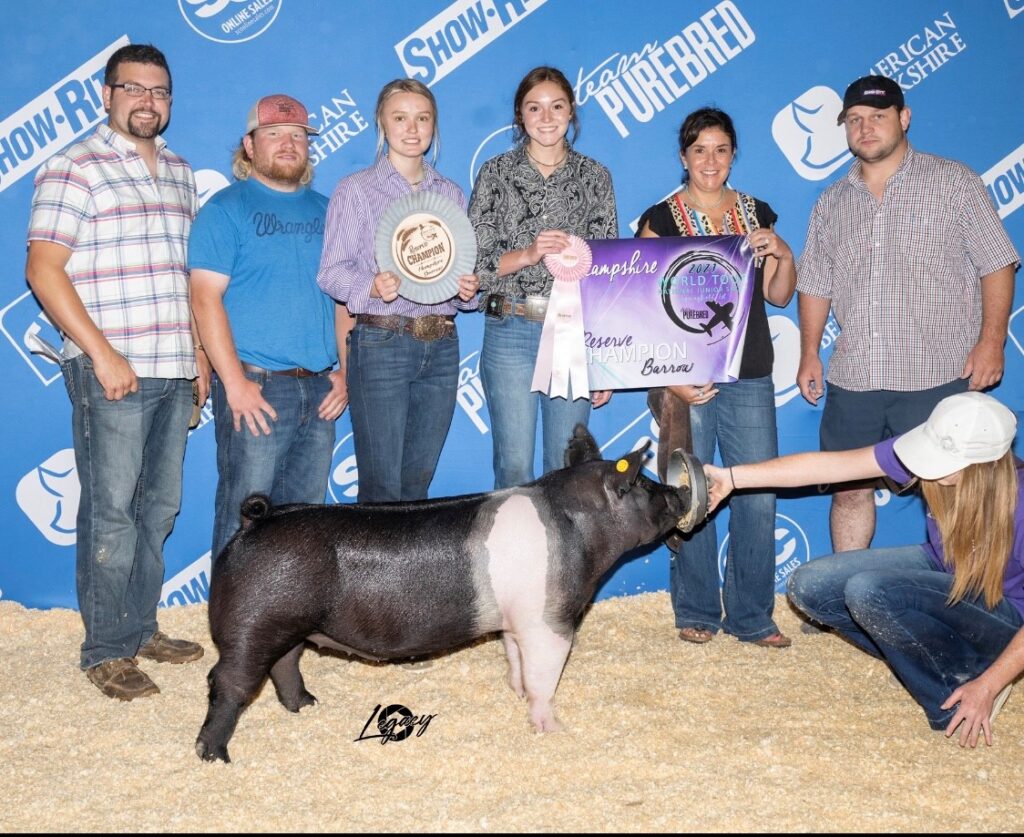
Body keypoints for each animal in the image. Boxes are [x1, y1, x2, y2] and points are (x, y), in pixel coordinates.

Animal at [196, 426, 696, 762]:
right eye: (644, 486)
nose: (681, 493)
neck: (580, 529)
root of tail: (254, 521)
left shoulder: (516, 621)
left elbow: (514, 659)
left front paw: (515, 693)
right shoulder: (549, 621)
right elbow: (544, 677)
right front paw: (553, 729)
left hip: (287, 623)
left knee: (285, 663)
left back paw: (307, 705)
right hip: (253, 623)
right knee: (229, 681)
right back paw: (214, 755)